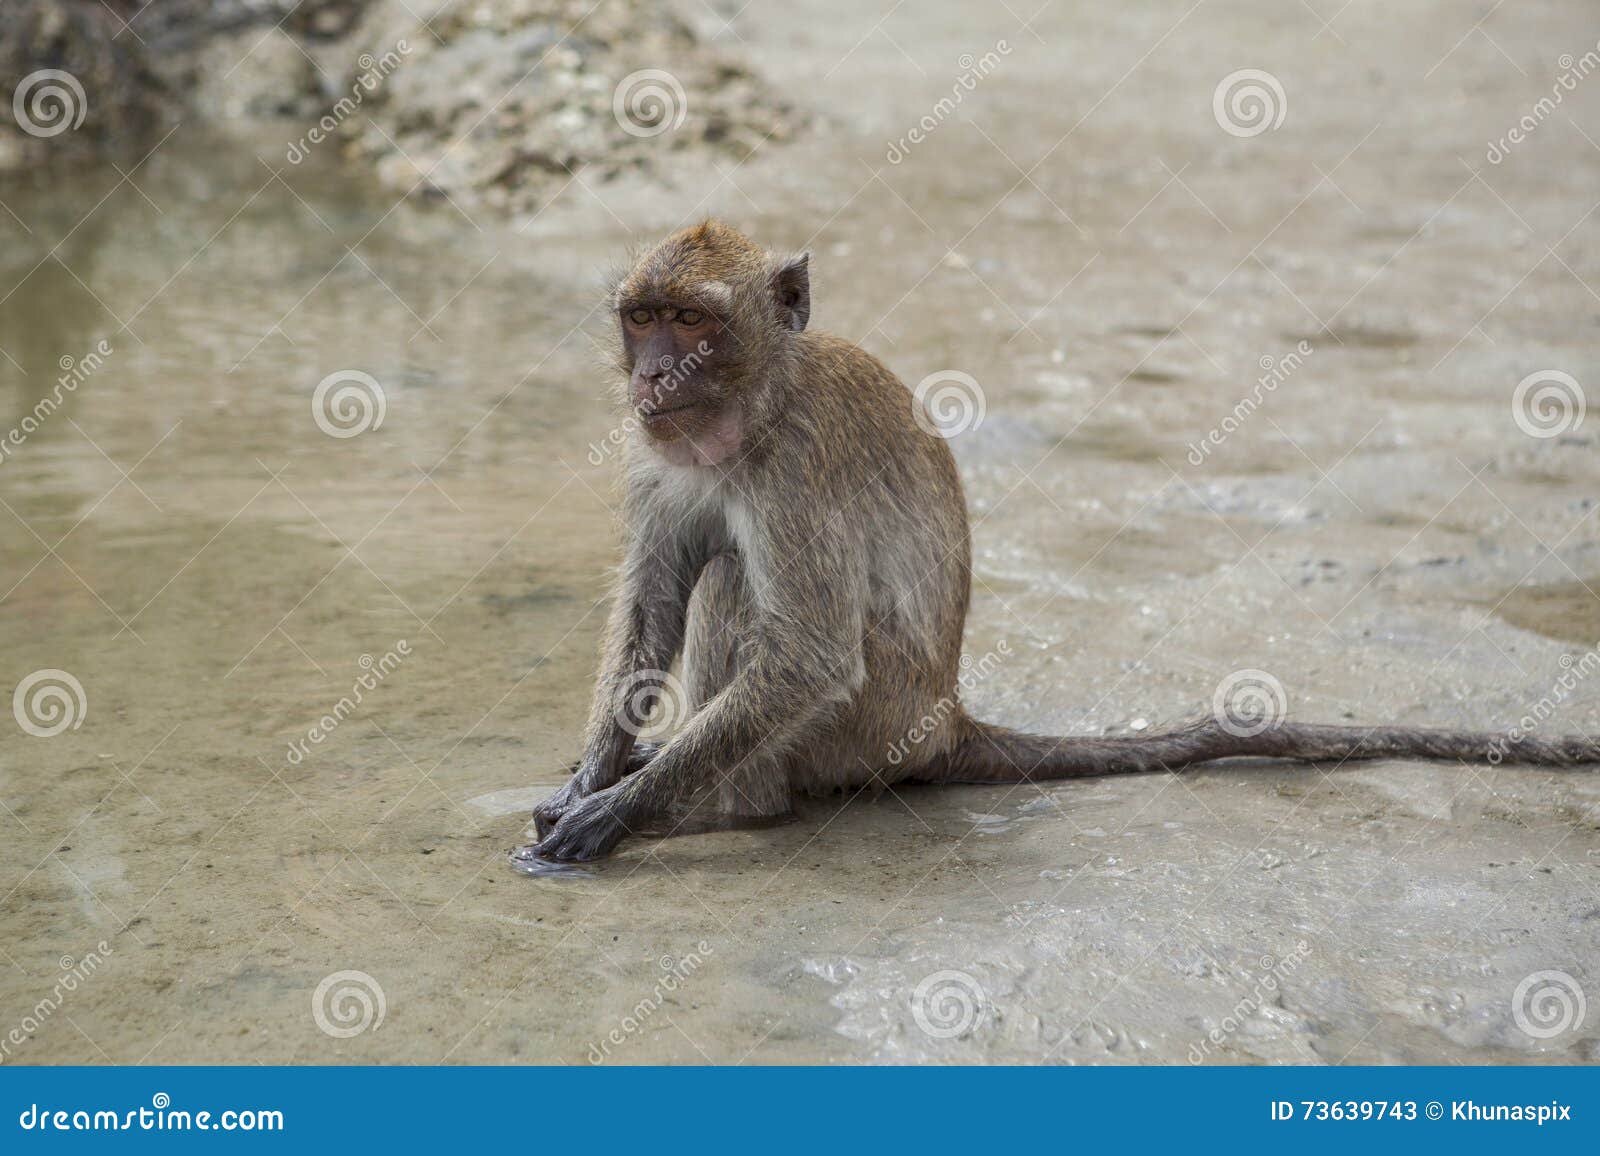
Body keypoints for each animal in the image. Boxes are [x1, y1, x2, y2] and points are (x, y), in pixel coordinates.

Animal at [513, 219, 1600, 864]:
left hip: (873, 720)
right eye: (643, 319)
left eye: (691, 322)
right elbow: (652, 605)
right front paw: (596, 776)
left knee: (743, 588)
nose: (652, 377)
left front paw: (619, 808)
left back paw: (726, 807)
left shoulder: (796, 469)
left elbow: (810, 654)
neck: (750, 409)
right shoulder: (656, 454)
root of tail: (948, 717)